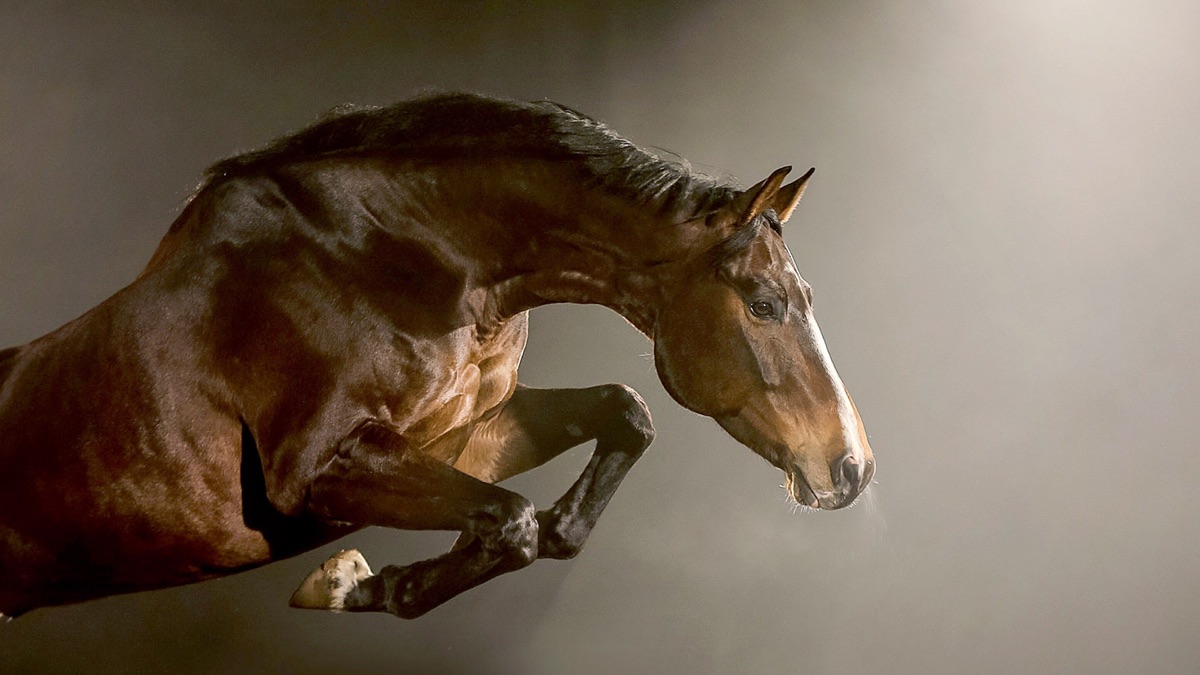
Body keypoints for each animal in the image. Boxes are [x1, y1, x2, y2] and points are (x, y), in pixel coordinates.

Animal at [0, 93, 874, 621]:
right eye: (763, 303)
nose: (851, 468)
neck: (396, 256)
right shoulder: (314, 471)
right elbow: (511, 521)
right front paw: (354, 583)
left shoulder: (467, 436)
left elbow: (624, 416)